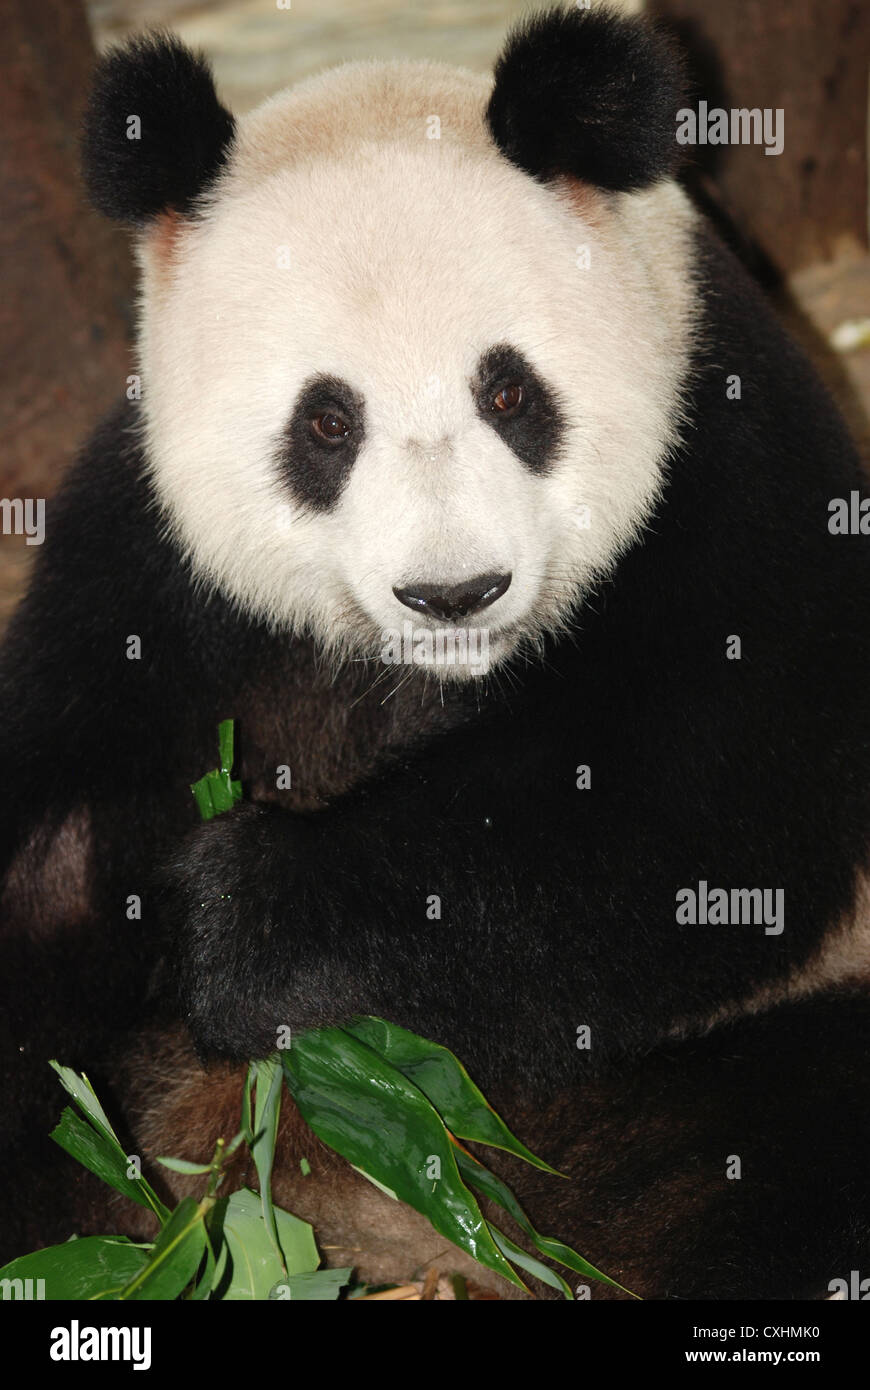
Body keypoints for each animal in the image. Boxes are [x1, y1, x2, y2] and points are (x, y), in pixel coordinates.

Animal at [2, 5, 870, 1300]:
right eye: (326, 422)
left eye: (508, 392)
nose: (453, 592)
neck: (417, 676)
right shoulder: (148, 567)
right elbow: (44, 859)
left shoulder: (729, 465)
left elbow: (691, 819)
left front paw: (237, 928)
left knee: (791, 1153)